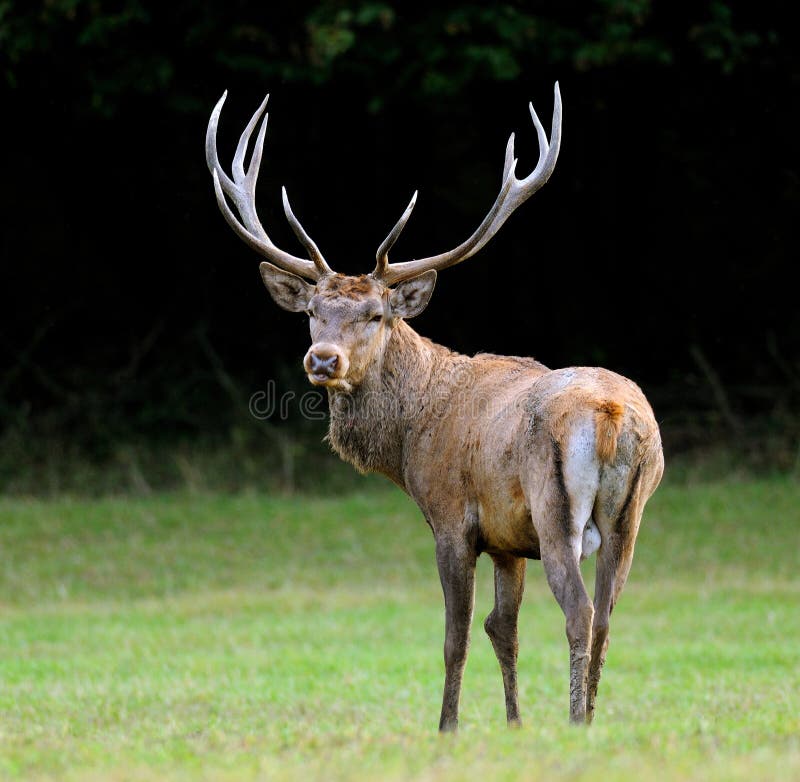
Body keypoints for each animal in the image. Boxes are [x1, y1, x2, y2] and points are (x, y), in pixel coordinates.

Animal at [205, 83, 664, 731]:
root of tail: (612, 416)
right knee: (605, 617)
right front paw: (514, 725)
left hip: (557, 511)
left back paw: (575, 723)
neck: (412, 437)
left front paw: (446, 728)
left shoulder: (452, 518)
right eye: (312, 311)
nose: (322, 360)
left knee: (577, 611)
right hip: (631, 515)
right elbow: (504, 630)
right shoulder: (507, 539)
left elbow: (457, 636)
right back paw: (592, 720)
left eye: (376, 313)